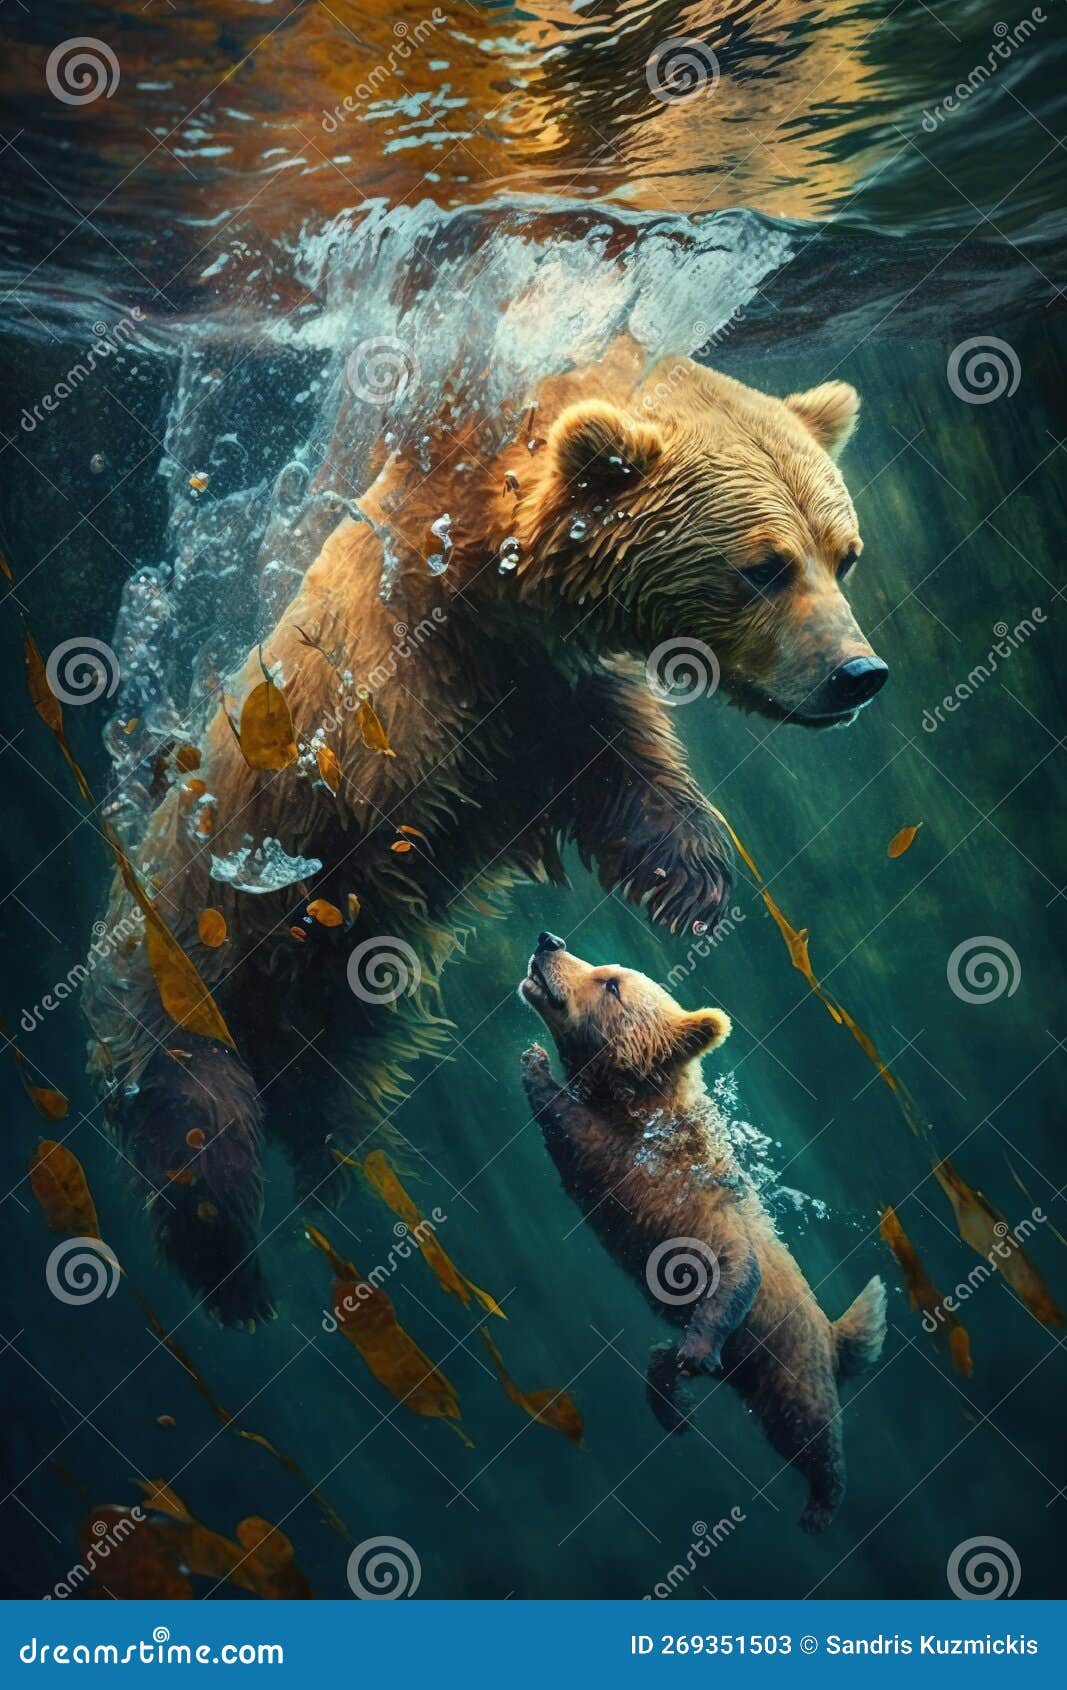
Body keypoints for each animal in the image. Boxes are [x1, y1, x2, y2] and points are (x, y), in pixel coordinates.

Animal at [84, 336, 888, 1327]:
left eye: (842, 555)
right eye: (764, 566)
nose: (857, 673)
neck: (484, 572)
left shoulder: (551, 693)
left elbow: (631, 779)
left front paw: (696, 885)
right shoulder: (396, 673)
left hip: (339, 1031)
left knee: (332, 1103)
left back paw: (335, 1180)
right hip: (179, 978)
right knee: (198, 1129)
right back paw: (235, 1275)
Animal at [518, 930, 887, 1533]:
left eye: (611, 981)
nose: (548, 941)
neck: (644, 1115)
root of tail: (832, 1335)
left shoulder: (690, 1202)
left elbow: (736, 1269)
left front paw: (536, 1064)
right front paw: (533, 1058)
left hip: (790, 1366)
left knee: (810, 1432)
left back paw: (820, 1504)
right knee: (660, 1360)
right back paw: (674, 1406)